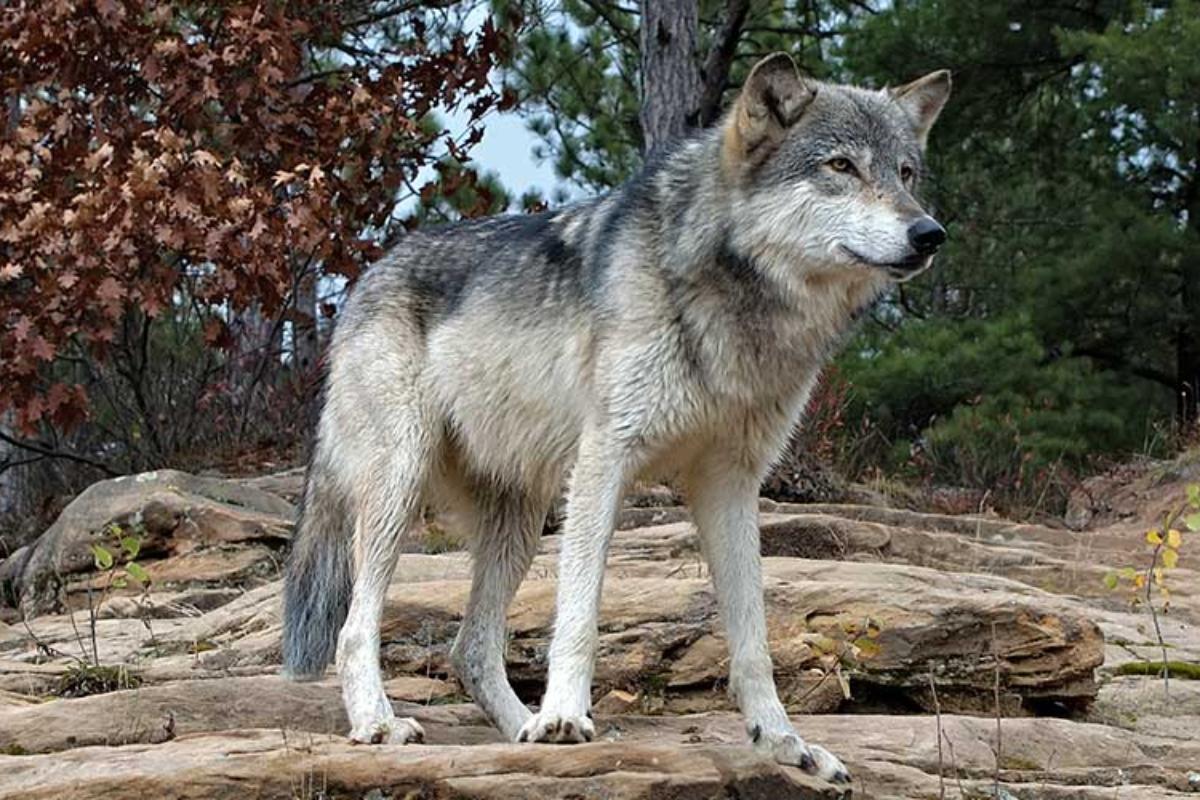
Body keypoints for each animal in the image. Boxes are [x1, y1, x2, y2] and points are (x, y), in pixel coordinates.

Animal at [281, 53, 950, 785]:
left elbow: (752, 639)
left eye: (906, 174)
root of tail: (367, 277)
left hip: (522, 522)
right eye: (841, 166)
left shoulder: (731, 483)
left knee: (471, 648)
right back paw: (383, 724)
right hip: (402, 488)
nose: (929, 233)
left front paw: (783, 743)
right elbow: (579, 611)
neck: (732, 299)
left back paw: (520, 732)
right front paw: (566, 719)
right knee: (356, 626)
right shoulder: (606, 459)